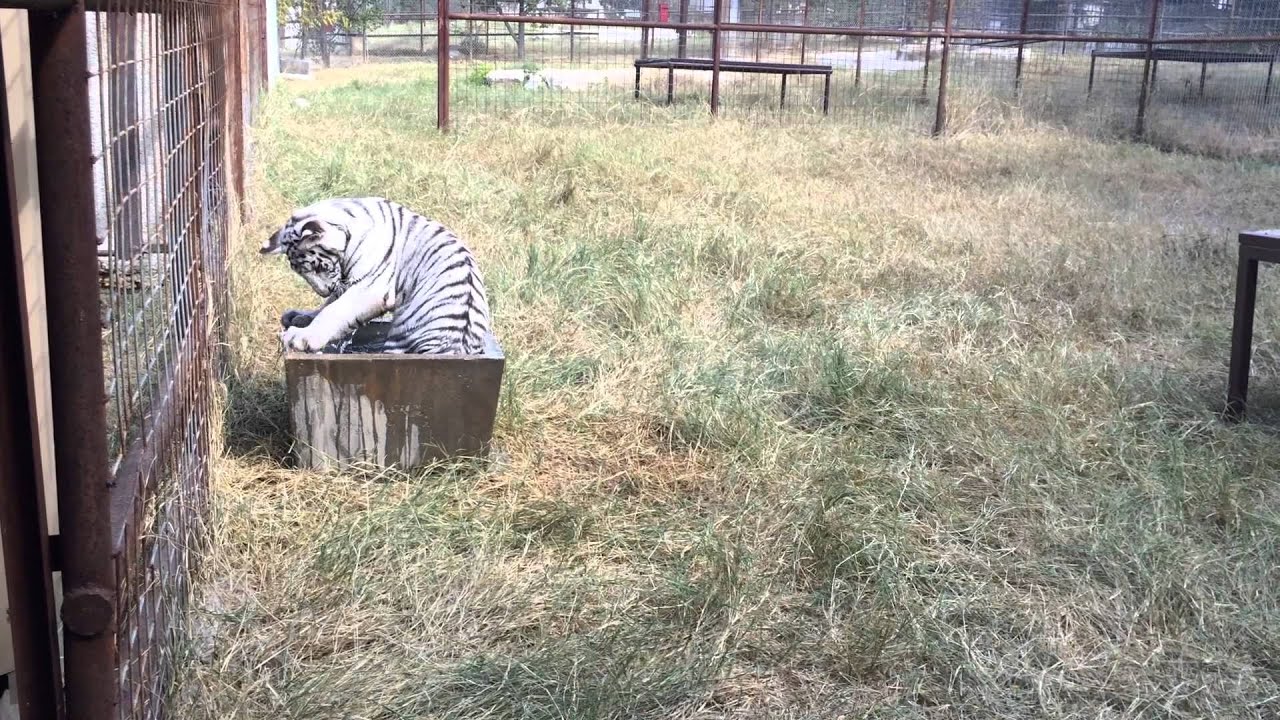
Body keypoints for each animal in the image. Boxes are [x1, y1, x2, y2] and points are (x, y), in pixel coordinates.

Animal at [260, 196, 492, 355]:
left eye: (318, 268)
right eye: (300, 273)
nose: (322, 291)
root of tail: (453, 347)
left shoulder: (370, 287)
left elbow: (334, 310)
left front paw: (301, 337)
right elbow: (327, 305)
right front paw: (301, 317)